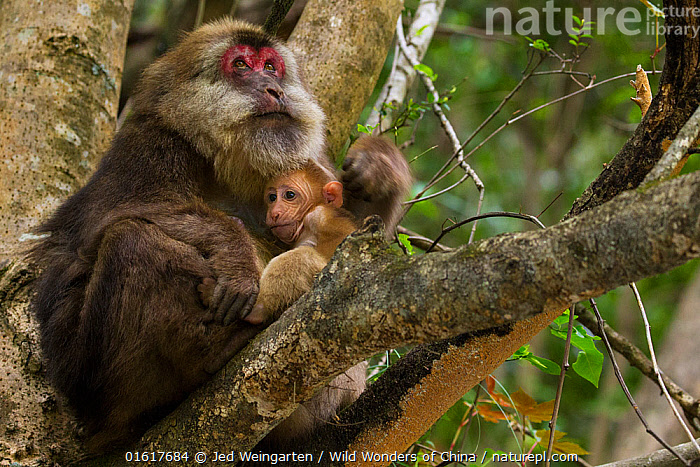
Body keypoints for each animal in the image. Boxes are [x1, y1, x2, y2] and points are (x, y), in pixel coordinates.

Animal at [30, 18, 411, 453]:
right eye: (241, 65)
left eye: (271, 66)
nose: (274, 89)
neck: (227, 160)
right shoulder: (150, 144)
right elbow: (111, 216)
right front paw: (235, 252)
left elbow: (353, 239)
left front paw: (380, 166)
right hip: (95, 383)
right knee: (130, 241)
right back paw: (211, 351)